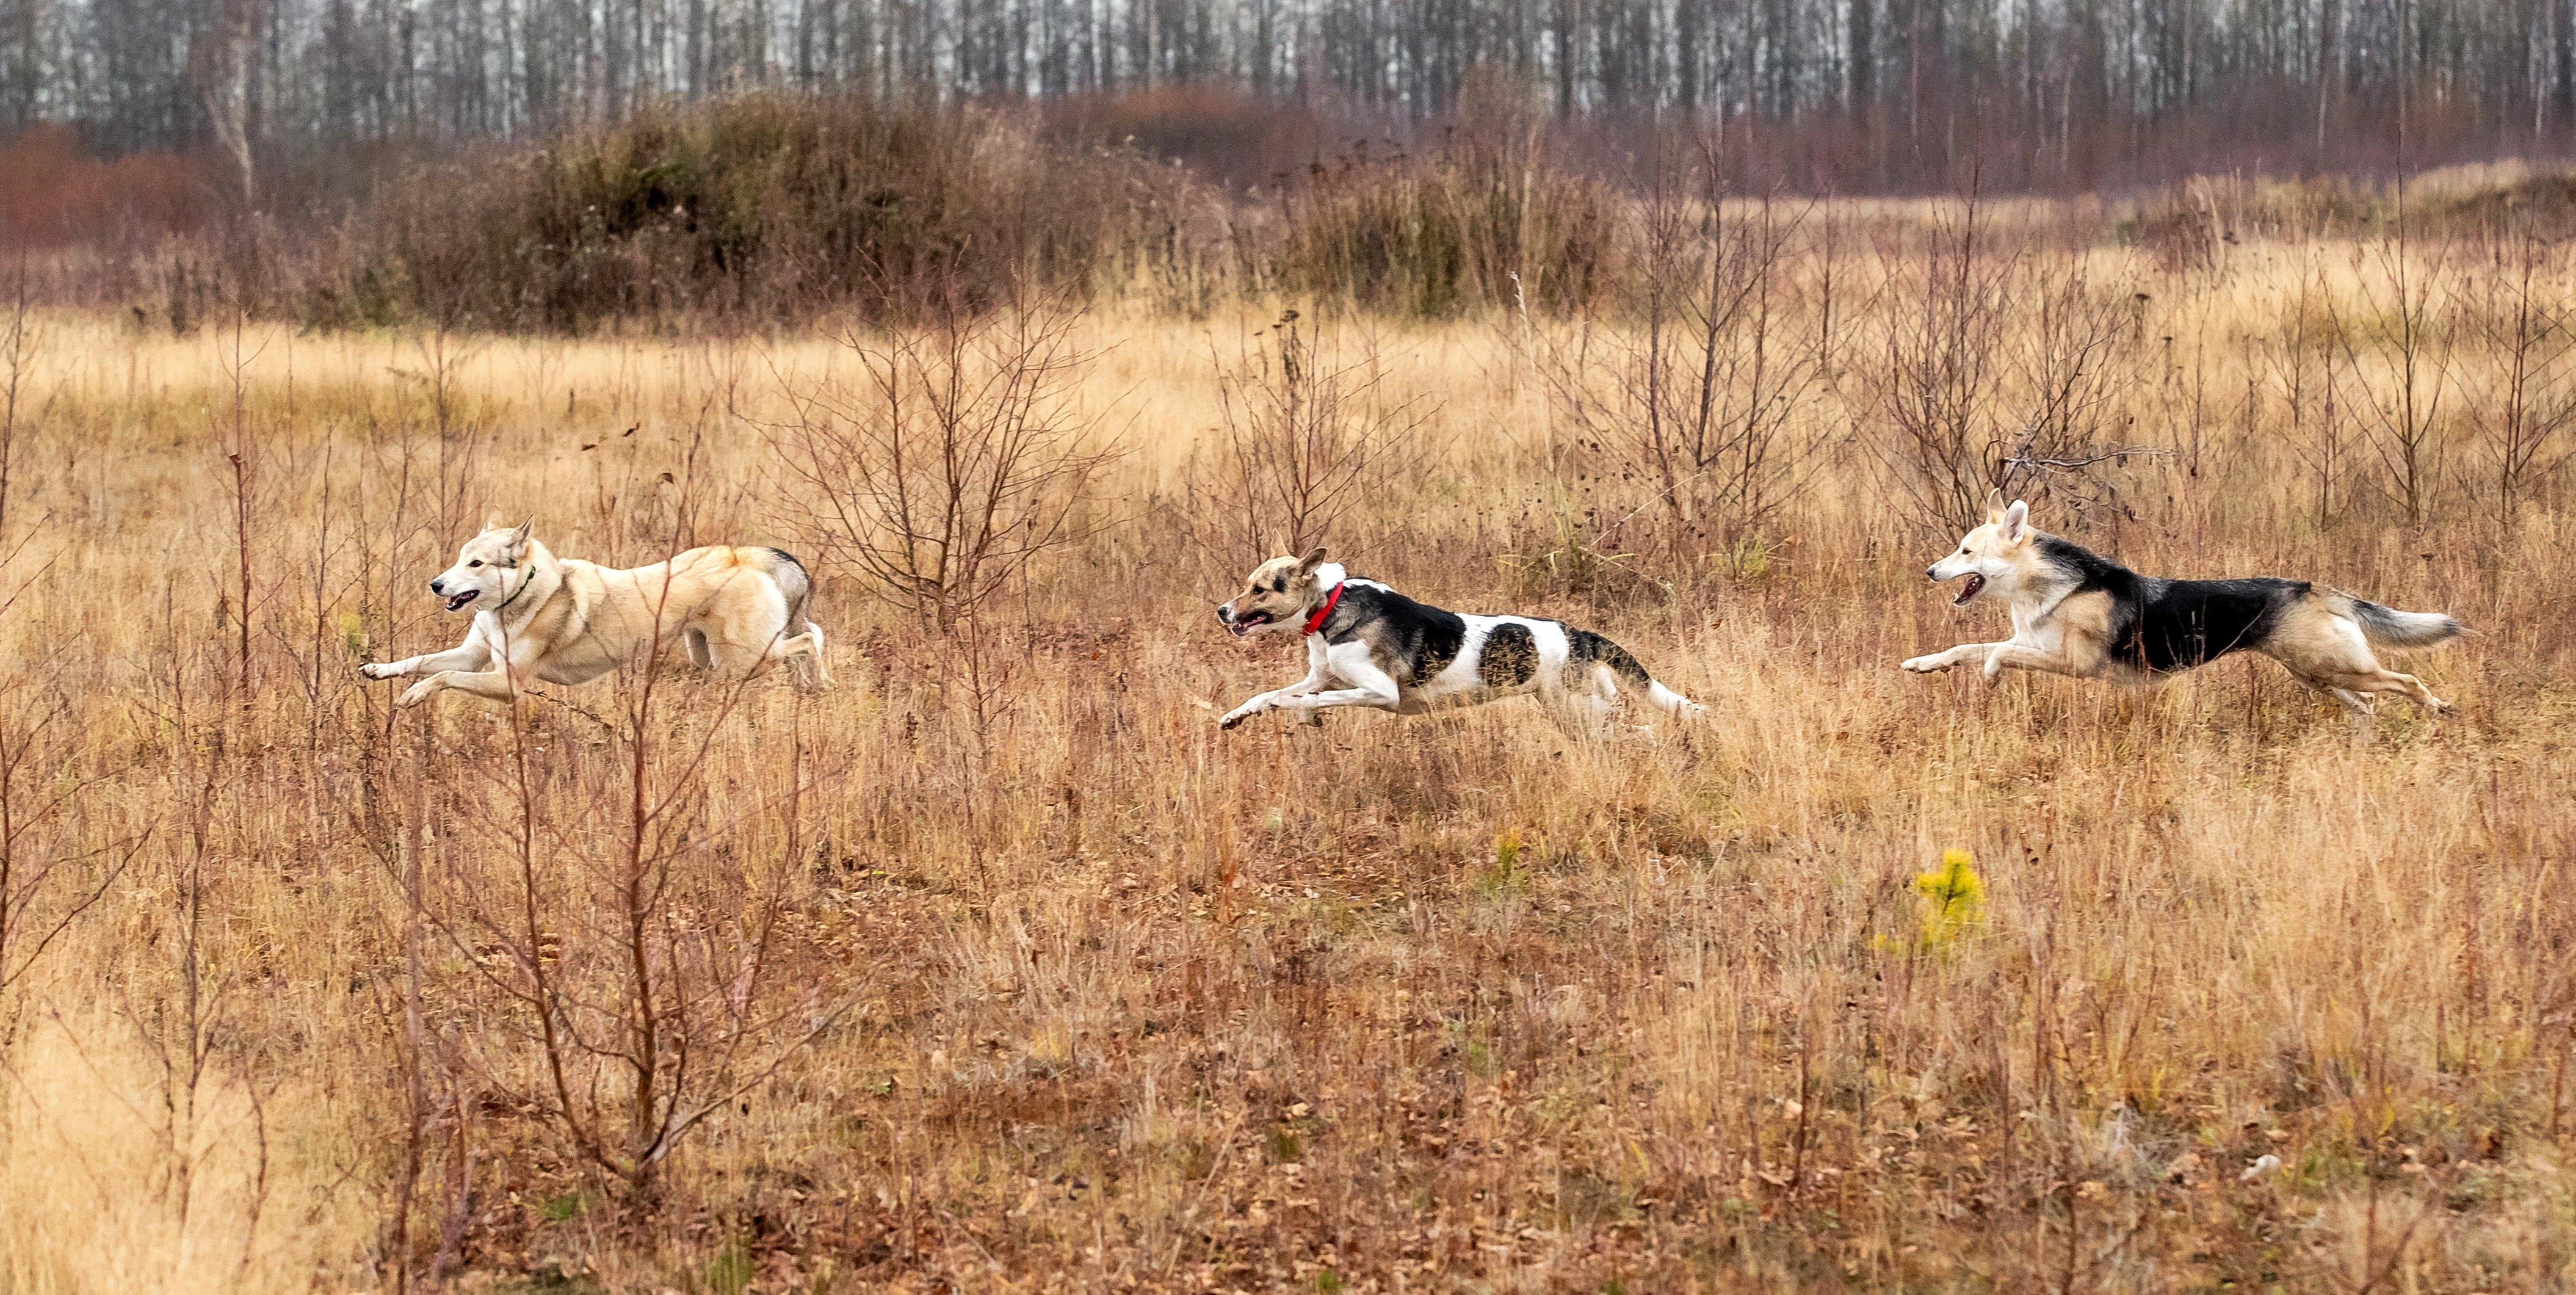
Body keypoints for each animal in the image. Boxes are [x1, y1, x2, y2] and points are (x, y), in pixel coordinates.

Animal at [1215, 548, 1700, 731]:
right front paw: (1235, 717)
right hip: (1573, 714)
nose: (1222, 611)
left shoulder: (1380, 693)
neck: (1330, 604)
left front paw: (1302, 712)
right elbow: (1267, 695)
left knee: (1643, 729)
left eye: (1260, 590)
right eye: (1247, 584)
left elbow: (1306, 700)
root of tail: (1581, 634)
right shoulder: (1323, 677)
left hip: (1582, 709)